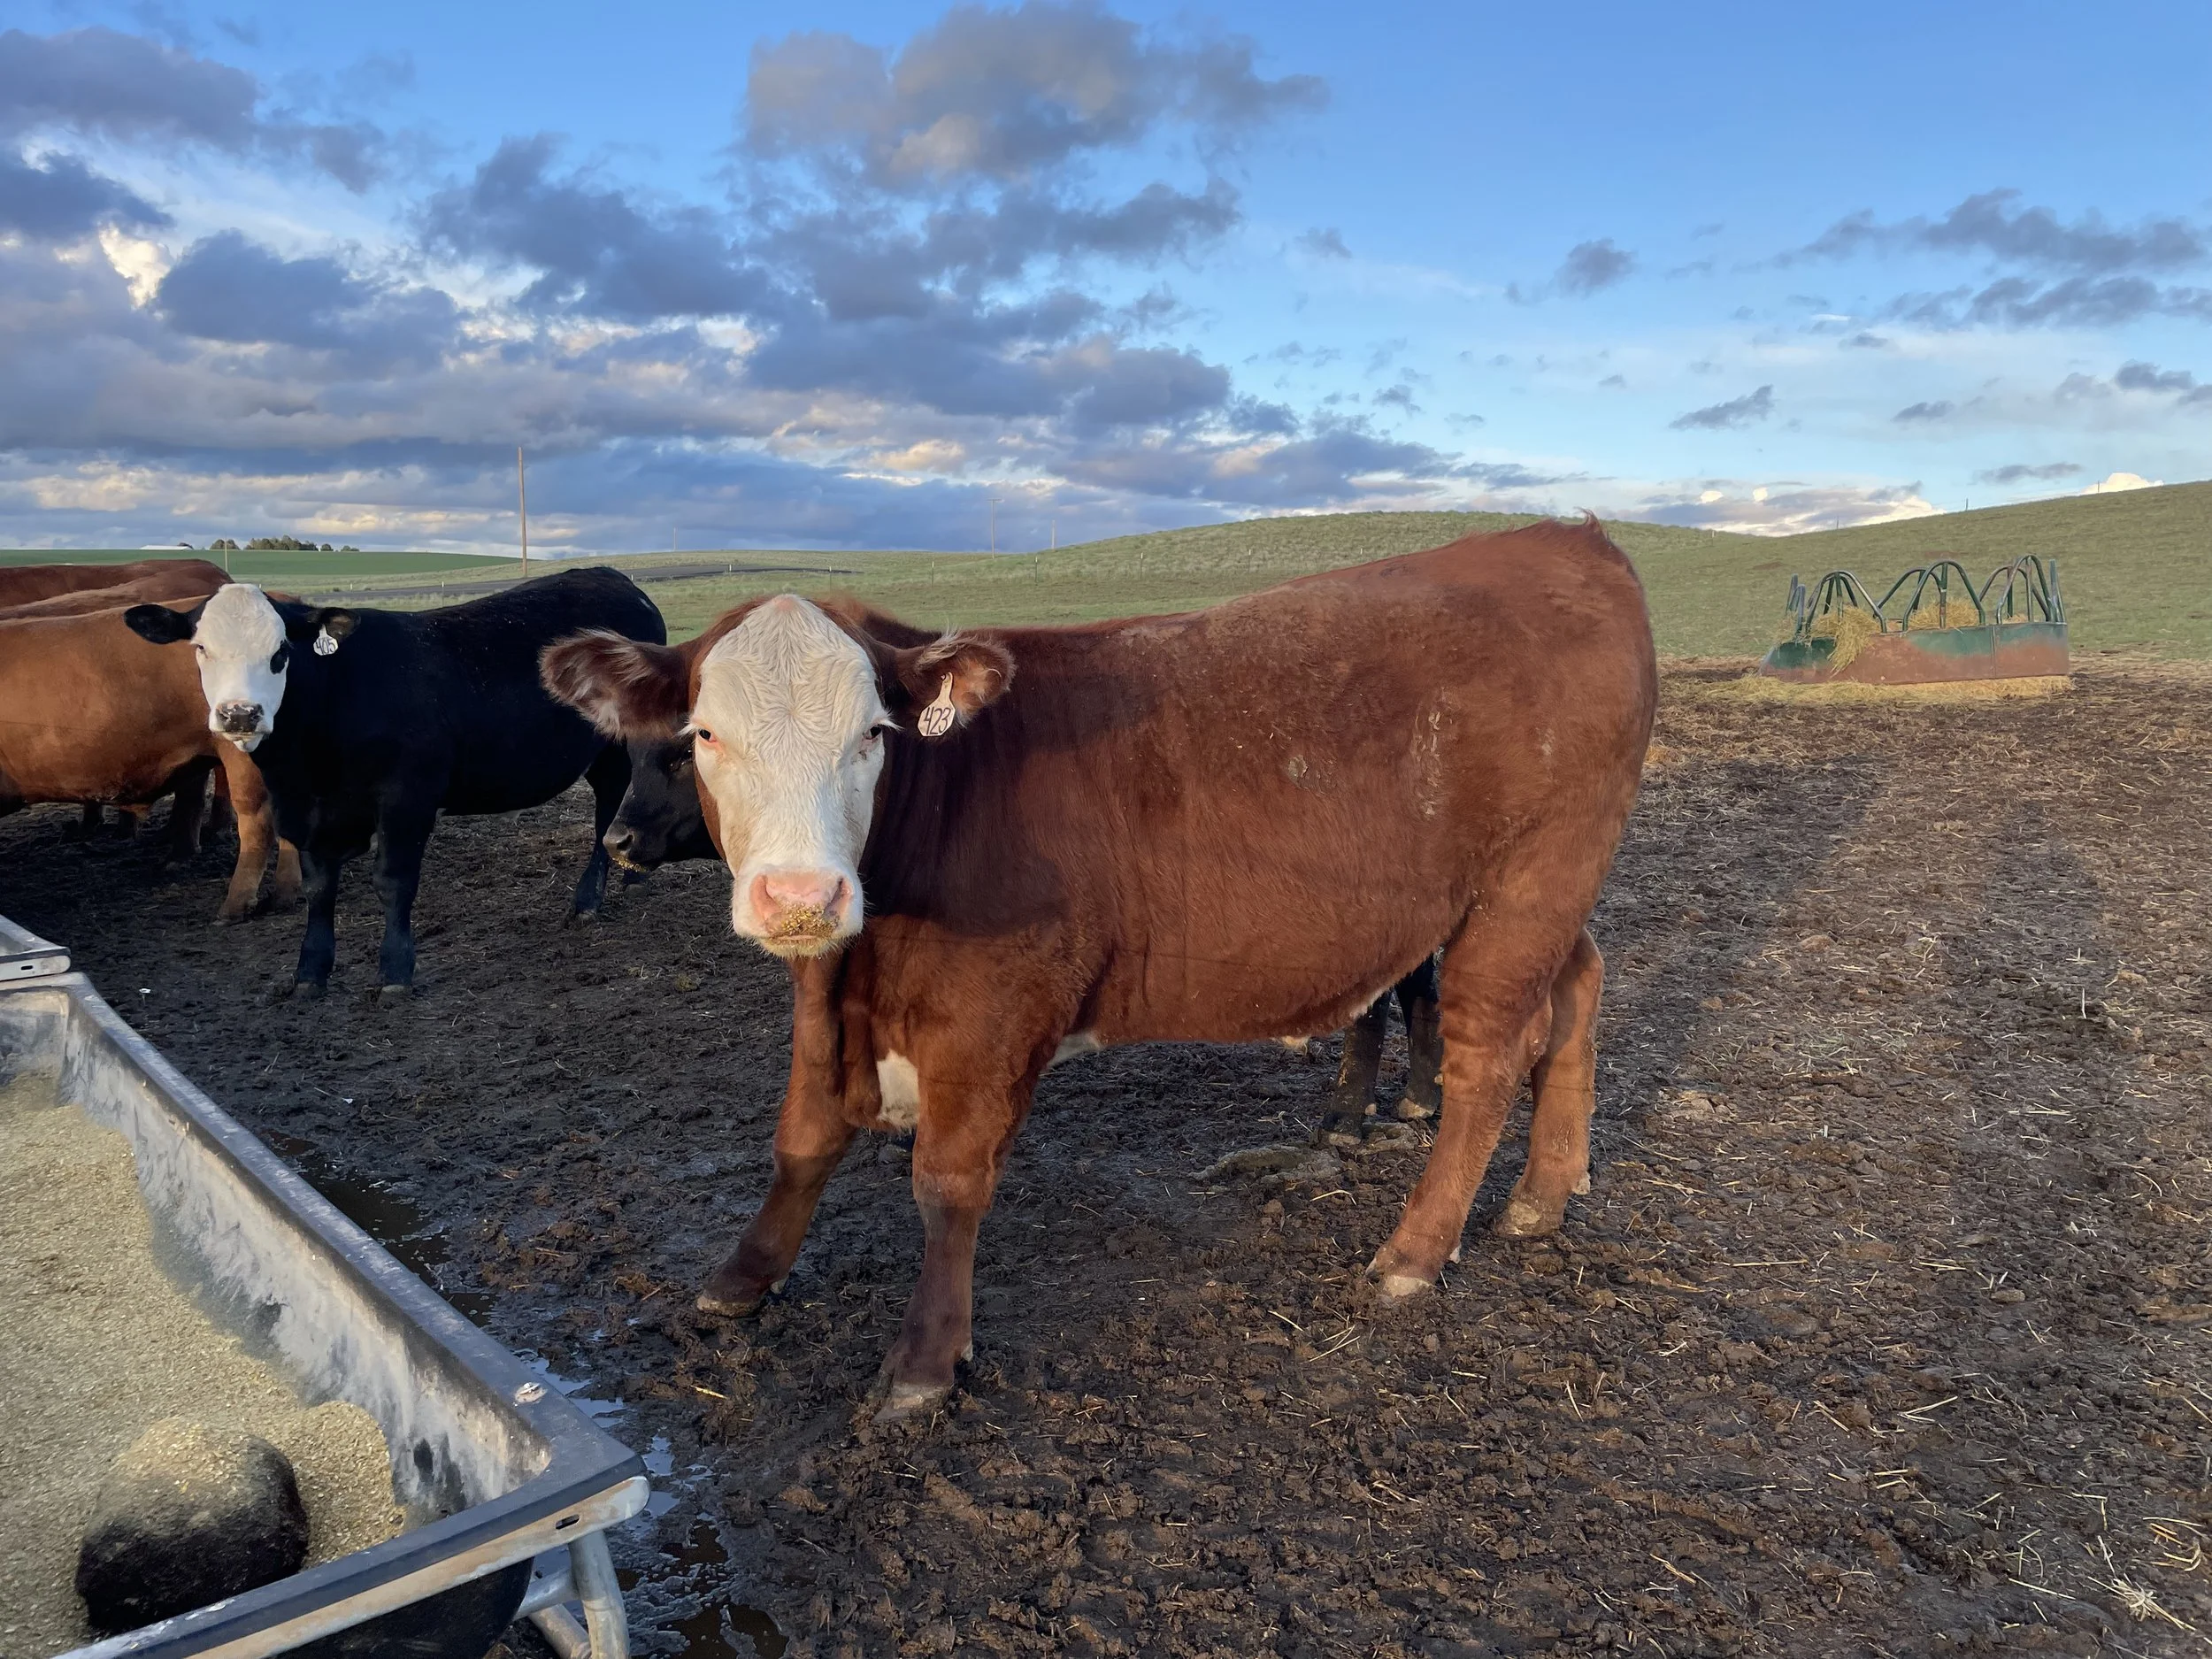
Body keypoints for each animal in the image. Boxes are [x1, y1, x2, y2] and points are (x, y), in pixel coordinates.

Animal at [125, 568, 666, 998]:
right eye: (201, 649)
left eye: (281, 652)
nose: (240, 713)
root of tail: (613, 579)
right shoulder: (306, 809)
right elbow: (318, 888)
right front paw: (310, 973)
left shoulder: (408, 798)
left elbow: (393, 881)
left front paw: (395, 972)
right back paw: (633, 877)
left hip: (617, 748)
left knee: (608, 811)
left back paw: (590, 899)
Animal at [542, 519, 1655, 1417]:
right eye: (702, 733)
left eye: (873, 734)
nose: (801, 897)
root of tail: (1566, 537)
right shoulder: (828, 1004)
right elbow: (800, 1141)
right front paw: (743, 1276)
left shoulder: (992, 1015)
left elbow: (948, 1183)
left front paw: (923, 1361)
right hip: (1550, 902)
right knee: (1577, 996)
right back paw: (1542, 1194)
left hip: (1524, 889)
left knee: (1488, 1059)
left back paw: (1416, 1252)